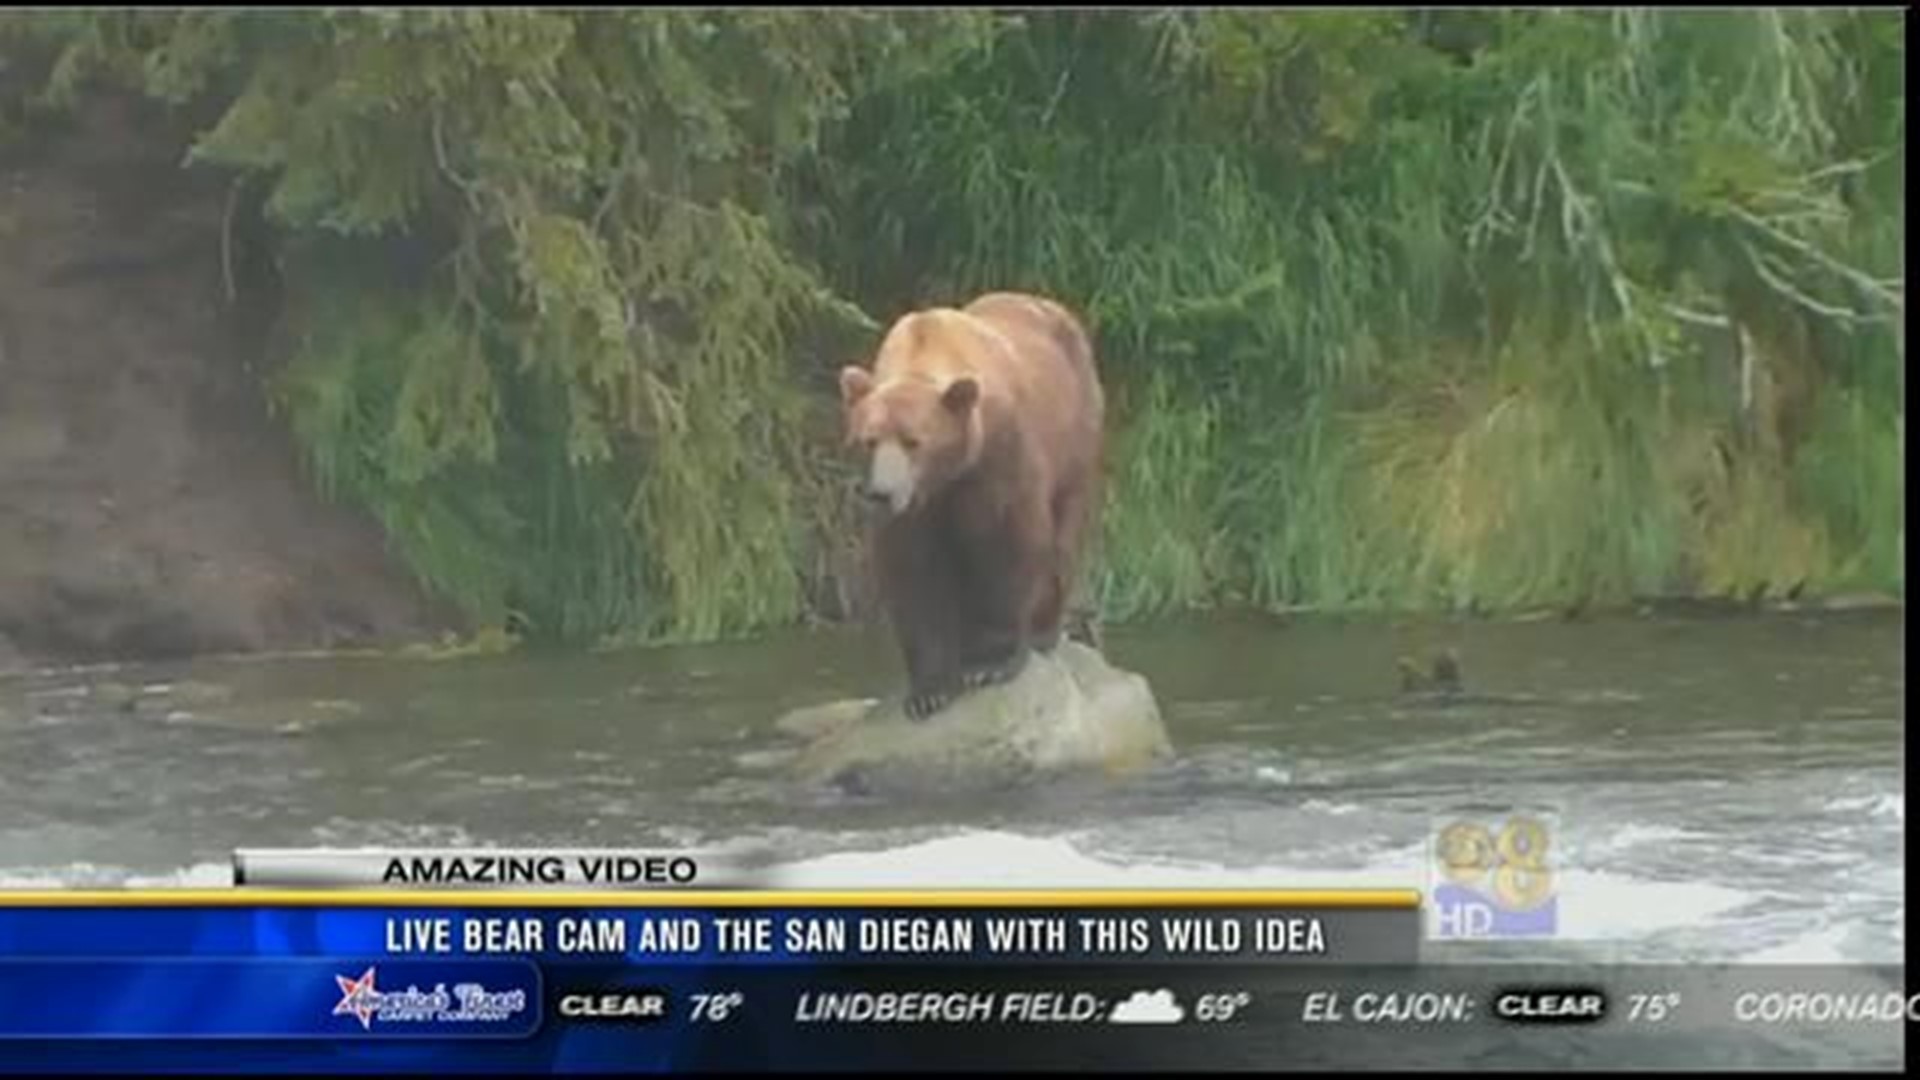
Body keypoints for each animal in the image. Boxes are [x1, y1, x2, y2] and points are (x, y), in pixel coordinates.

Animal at [839, 291, 1106, 721]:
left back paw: (1043, 631)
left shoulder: (998, 461)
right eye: (868, 440)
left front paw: (989, 664)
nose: (881, 493)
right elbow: (914, 572)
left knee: (1064, 532)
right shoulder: (916, 510)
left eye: (913, 441)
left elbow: (1008, 546)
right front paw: (928, 691)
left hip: (1077, 431)